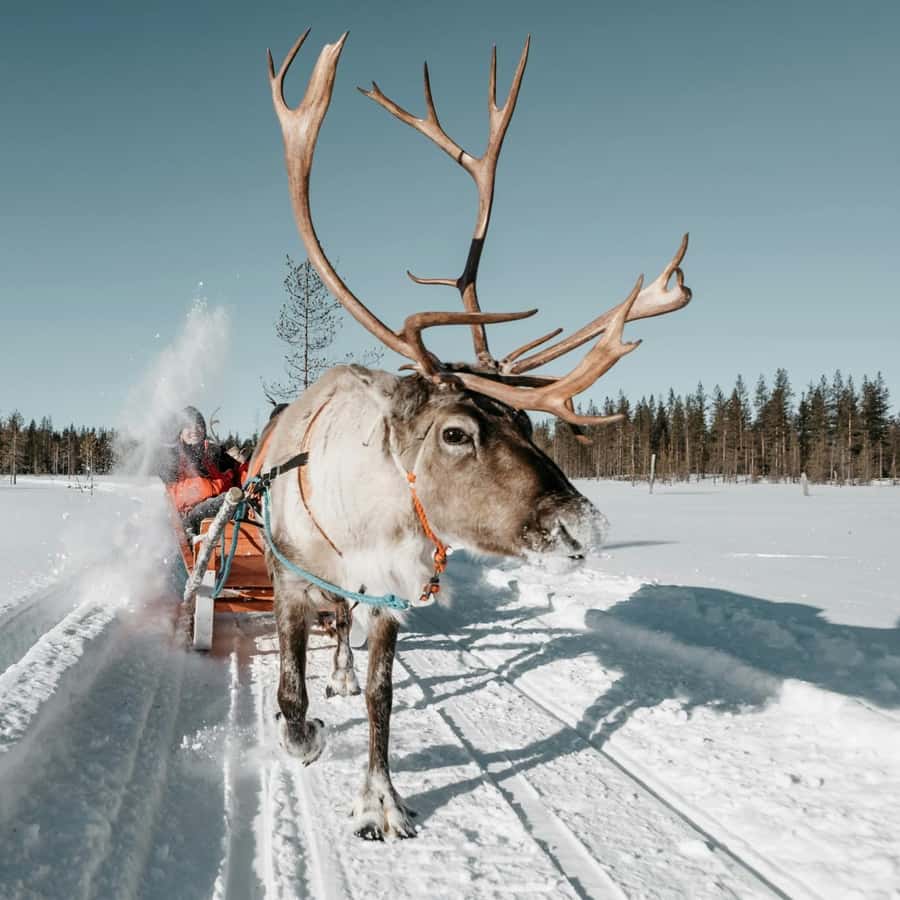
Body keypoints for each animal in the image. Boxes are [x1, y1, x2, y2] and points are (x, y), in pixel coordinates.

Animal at [258, 28, 691, 840]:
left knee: (341, 643)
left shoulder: (387, 597)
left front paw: (381, 800)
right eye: (457, 433)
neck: (361, 518)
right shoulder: (290, 579)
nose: (584, 524)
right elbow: (290, 692)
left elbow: (381, 695)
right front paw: (307, 740)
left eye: (527, 421)